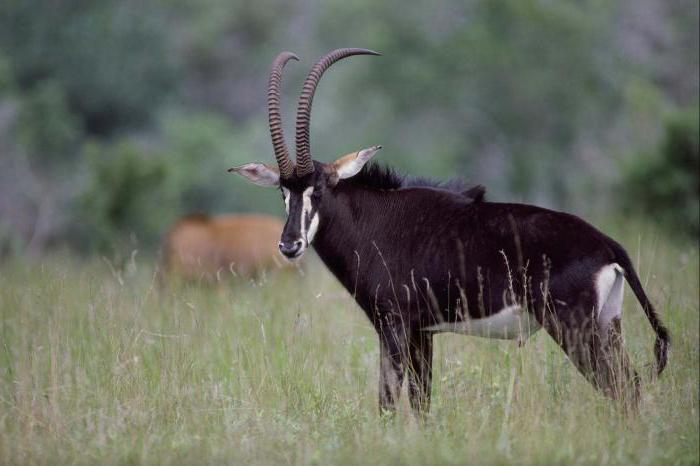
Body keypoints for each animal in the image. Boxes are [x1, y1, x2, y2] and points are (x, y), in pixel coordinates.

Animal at [228, 48, 668, 416]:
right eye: (283, 191)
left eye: (317, 189)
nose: (289, 245)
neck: (375, 220)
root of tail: (608, 246)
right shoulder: (422, 332)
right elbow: (421, 402)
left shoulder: (394, 327)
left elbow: (389, 402)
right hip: (608, 324)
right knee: (629, 385)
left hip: (574, 328)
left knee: (618, 388)